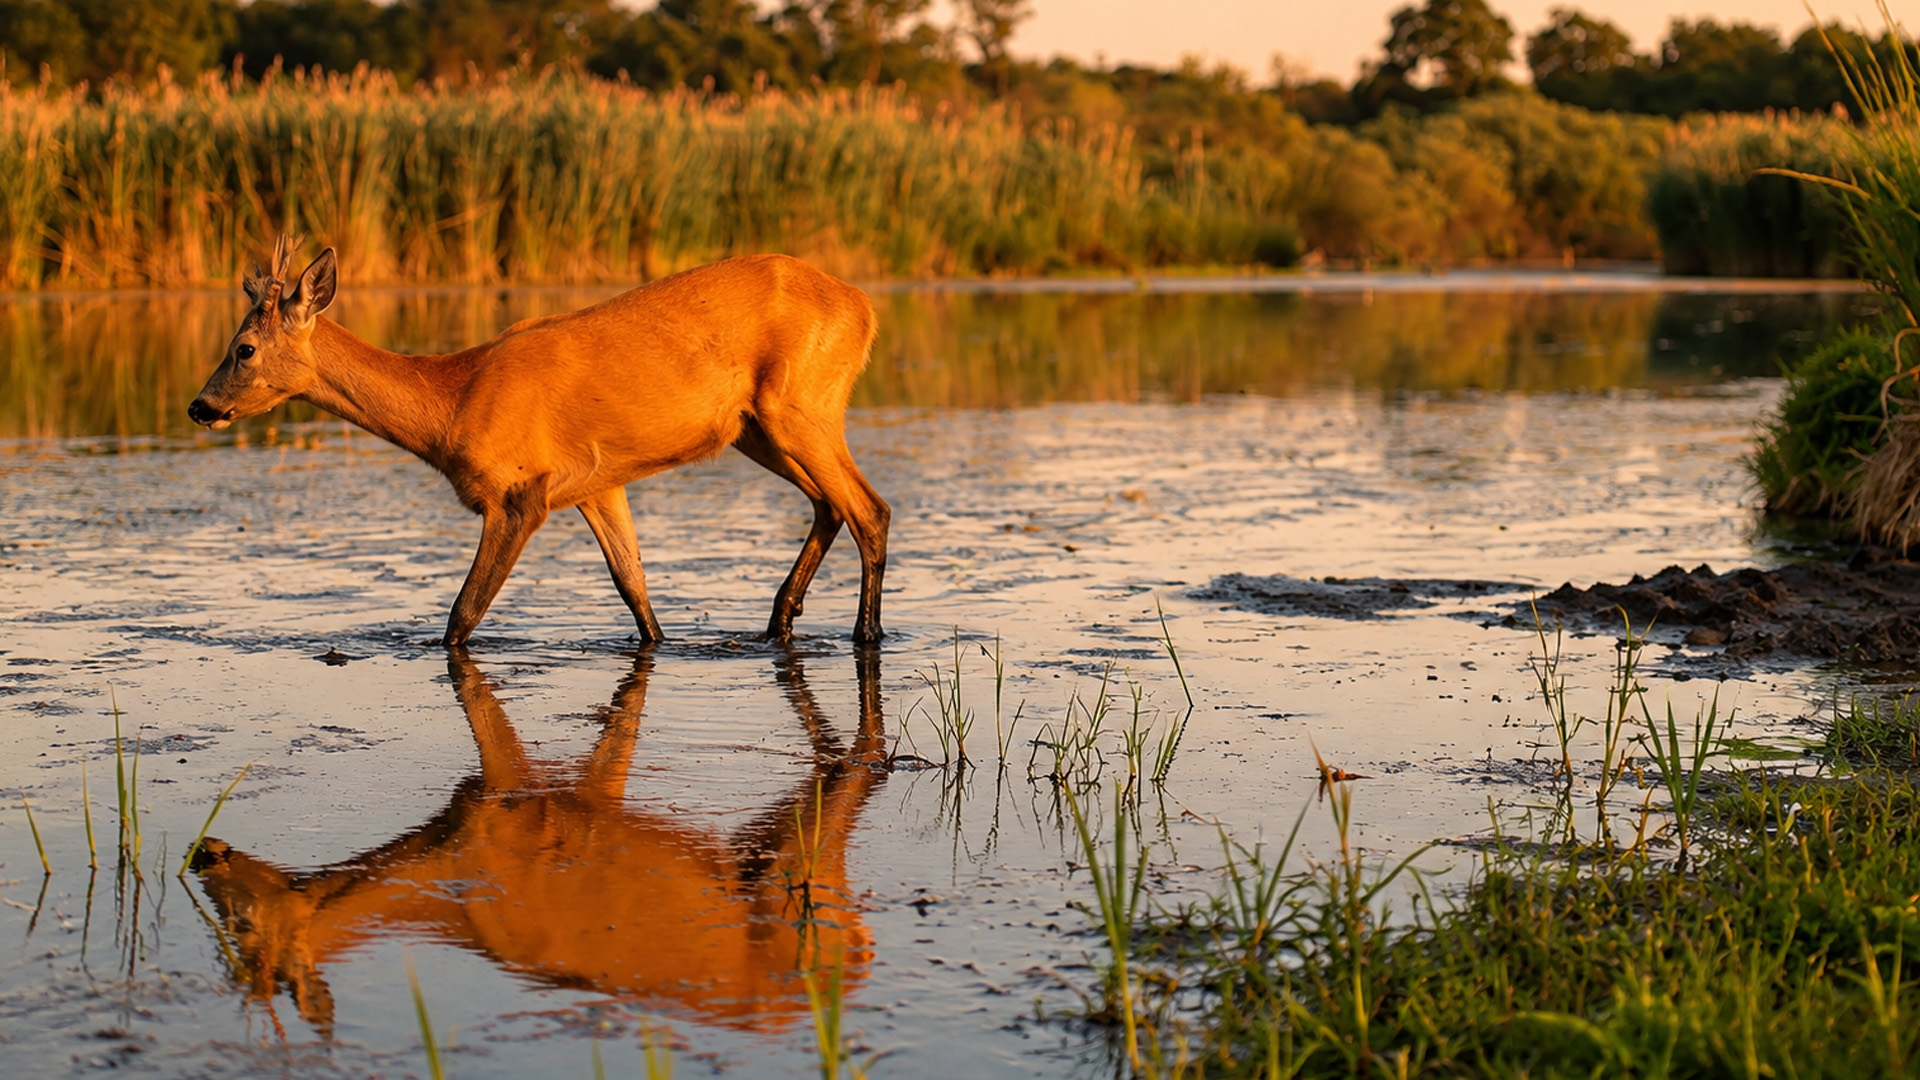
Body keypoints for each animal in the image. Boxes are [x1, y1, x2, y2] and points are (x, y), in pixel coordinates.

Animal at [187, 238, 890, 647]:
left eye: (243, 348)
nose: (200, 406)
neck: (453, 403)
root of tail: (864, 305)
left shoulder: (518, 494)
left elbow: (462, 615)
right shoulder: (598, 484)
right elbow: (635, 592)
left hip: (800, 405)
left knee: (870, 509)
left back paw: (866, 634)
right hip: (756, 428)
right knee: (831, 505)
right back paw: (779, 621)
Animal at [189, 647, 887, 1036]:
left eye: (245, 926)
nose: (204, 854)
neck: (449, 876)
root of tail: (855, 963)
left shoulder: (517, 801)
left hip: (793, 869)